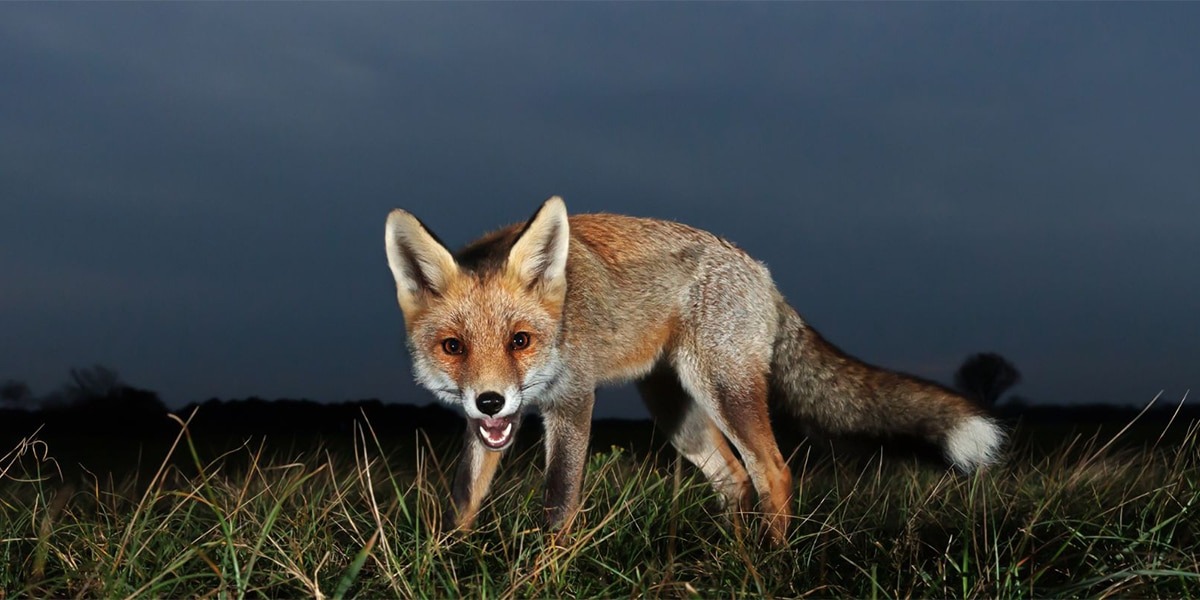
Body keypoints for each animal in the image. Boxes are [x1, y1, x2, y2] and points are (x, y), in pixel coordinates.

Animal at [384, 196, 1004, 545]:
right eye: (453, 347)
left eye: (521, 341)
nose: (490, 400)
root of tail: (763, 272)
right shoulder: (485, 429)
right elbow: (464, 499)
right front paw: (450, 558)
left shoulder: (573, 400)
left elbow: (558, 503)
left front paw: (543, 572)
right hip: (677, 415)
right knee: (734, 478)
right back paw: (737, 559)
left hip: (723, 390)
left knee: (773, 472)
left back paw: (773, 564)